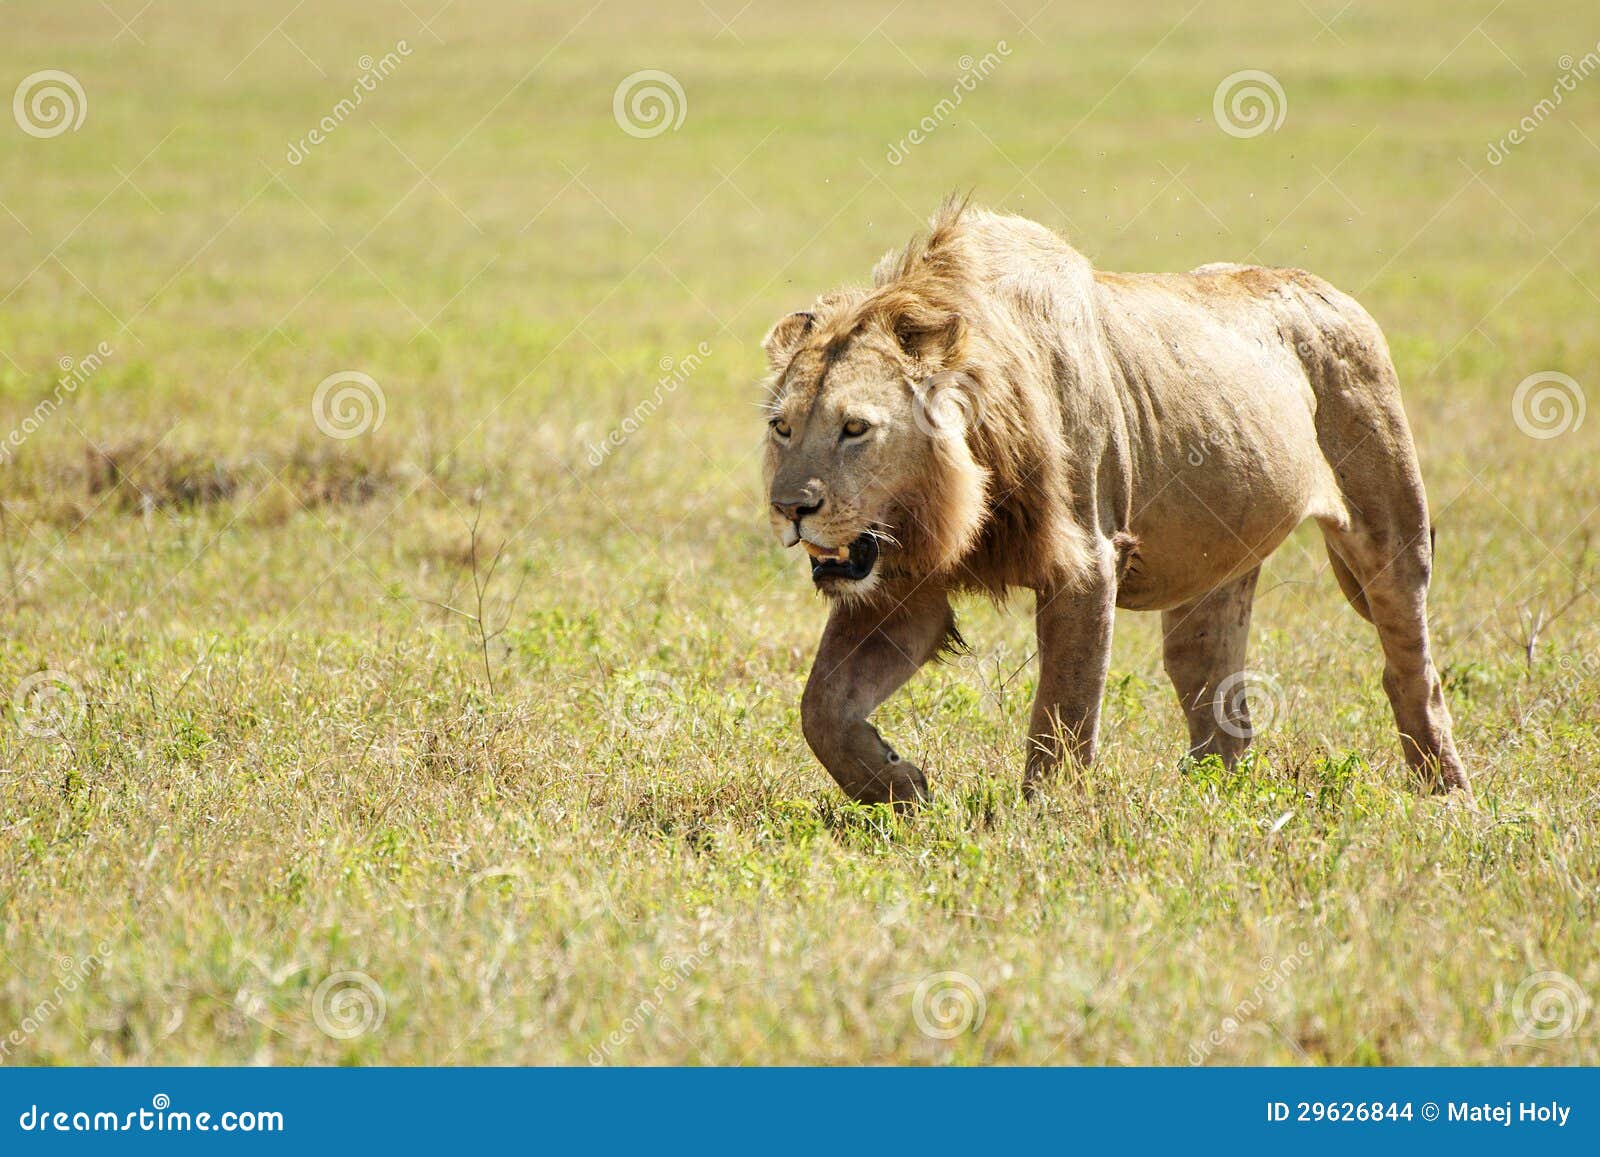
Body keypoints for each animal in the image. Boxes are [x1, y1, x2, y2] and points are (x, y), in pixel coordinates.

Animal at [761, 196, 1470, 805]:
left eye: (856, 428)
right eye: (783, 428)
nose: (789, 508)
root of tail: (1331, 291)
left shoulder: (1085, 563)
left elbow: (1065, 710)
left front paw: (1047, 818)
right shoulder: (903, 584)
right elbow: (821, 707)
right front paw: (899, 786)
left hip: (1390, 529)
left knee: (1413, 669)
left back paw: (1447, 794)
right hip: (1212, 569)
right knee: (1218, 695)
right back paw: (1209, 800)